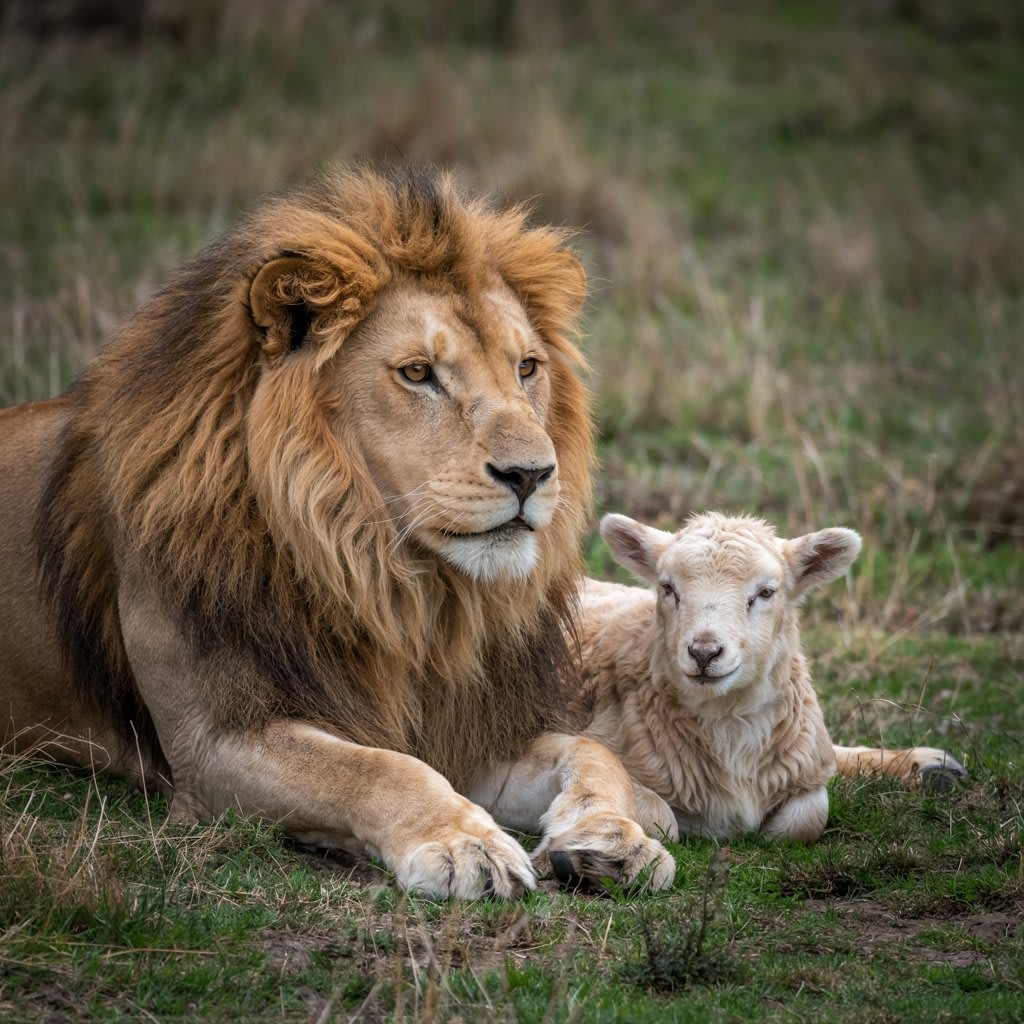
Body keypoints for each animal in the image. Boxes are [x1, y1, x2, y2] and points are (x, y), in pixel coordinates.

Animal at [0, 167, 674, 898]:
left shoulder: (457, 729)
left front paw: (613, 835)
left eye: (526, 367)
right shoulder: (212, 742)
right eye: (418, 373)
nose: (531, 473)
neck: (390, 582)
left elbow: (590, 748)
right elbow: (376, 767)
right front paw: (464, 844)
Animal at [576, 512, 968, 844]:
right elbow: (662, 819)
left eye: (765, 592)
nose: (704, 653)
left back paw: (931, 765)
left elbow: (806, 818)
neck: (729, 720)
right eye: (668, 588)